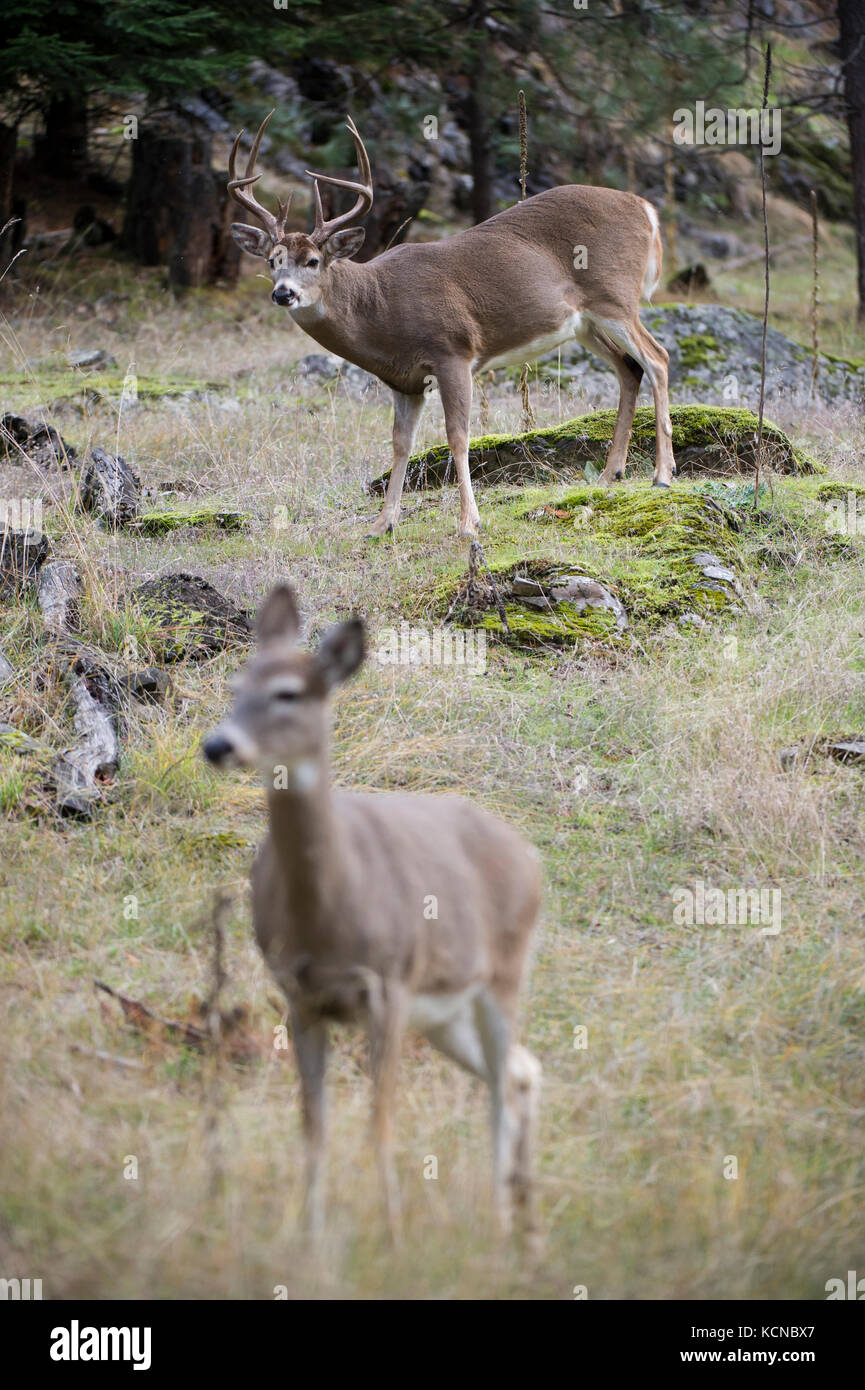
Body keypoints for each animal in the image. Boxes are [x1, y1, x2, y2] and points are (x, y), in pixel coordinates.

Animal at [201, 583, 543, 1241]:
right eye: (234, 686)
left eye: (289, 692)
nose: (217, 745)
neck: (329, 913)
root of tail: (529, 857)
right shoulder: (300, 998)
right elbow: (314, 1127)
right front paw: (310, 1240)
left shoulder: (389, 987)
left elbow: (379, 1123)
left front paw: (391, 1234)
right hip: (443, 1015)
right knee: (520, 1070)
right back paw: (520, 1221)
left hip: (501, 974)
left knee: (503, 1083)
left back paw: (499, 1223)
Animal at [227, 112, 676, 540]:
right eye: (272, 261)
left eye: (313, 261)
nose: (283, 294)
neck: (381, 305)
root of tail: (647, 209)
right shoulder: (403, 381)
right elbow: (400, 444)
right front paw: (381, 525)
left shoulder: (453, 352)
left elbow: (458, 437)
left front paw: (468, 523)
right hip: (585, 322)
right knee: (628, 368)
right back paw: (609, 476)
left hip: (615, 297)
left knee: (657, 358)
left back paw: (662, 476)